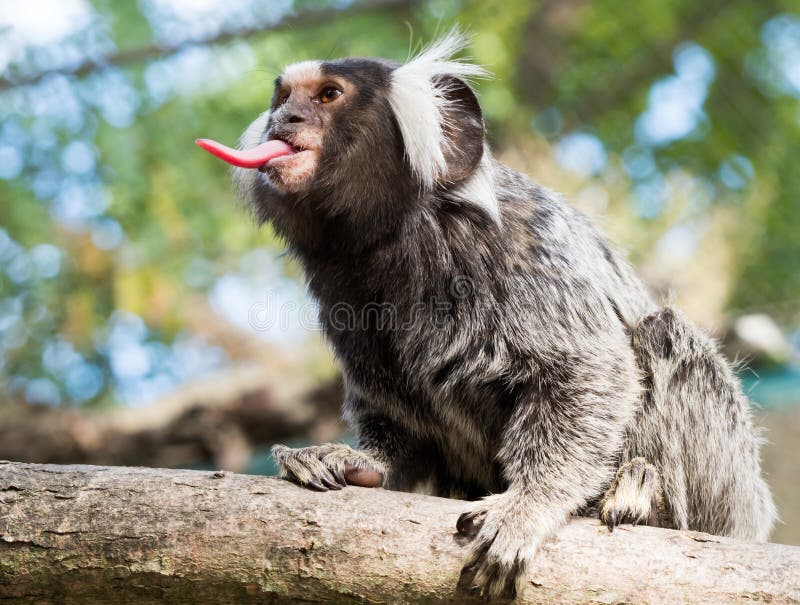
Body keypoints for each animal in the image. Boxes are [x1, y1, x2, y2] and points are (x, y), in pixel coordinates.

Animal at [197, 31, 777, 600]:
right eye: (281, 98)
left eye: (327, 96)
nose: (284, 119)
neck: (401, 239)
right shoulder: (341, 292)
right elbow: (392, 415)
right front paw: (362, 464)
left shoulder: (520, 251)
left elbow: (589, 373)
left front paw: (529, 504)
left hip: (731, 502)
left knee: (663, 333)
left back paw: (643, 494)